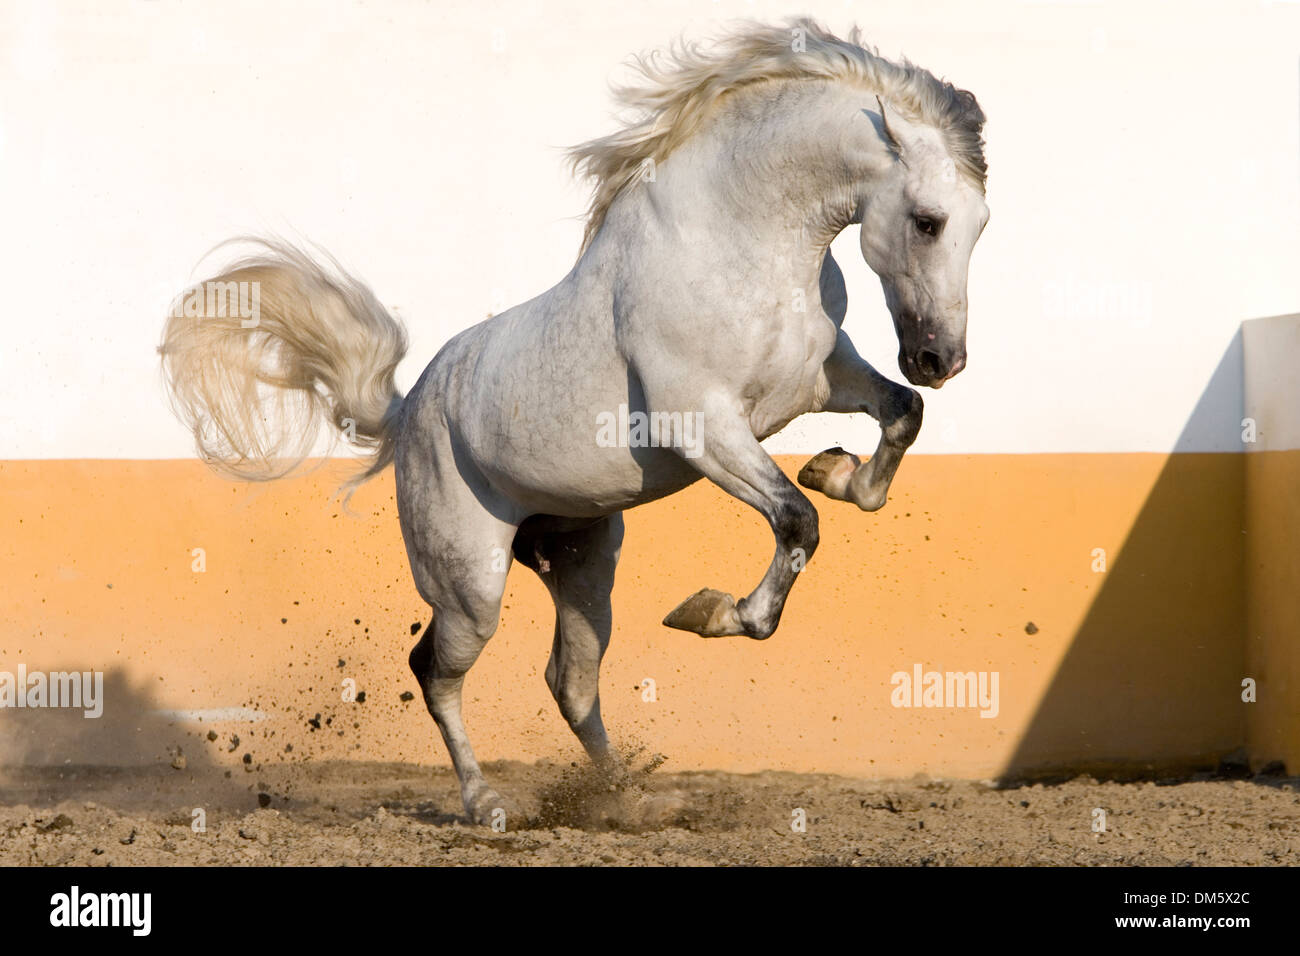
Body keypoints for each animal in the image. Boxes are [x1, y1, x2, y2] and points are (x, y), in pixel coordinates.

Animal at [159, 19, 989, 824]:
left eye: (980, 224)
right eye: (927, 221)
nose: (940, 357)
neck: (747, 249)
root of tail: (406, 414)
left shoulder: (822, 378)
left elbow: (899, 419)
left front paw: (835, 470)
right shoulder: (705, 427)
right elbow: (796, 521)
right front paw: (717, 613)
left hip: (582, 561)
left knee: (571, 679)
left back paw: (626, 799)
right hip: (471, 583)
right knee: (435, 670)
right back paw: (487, 803)